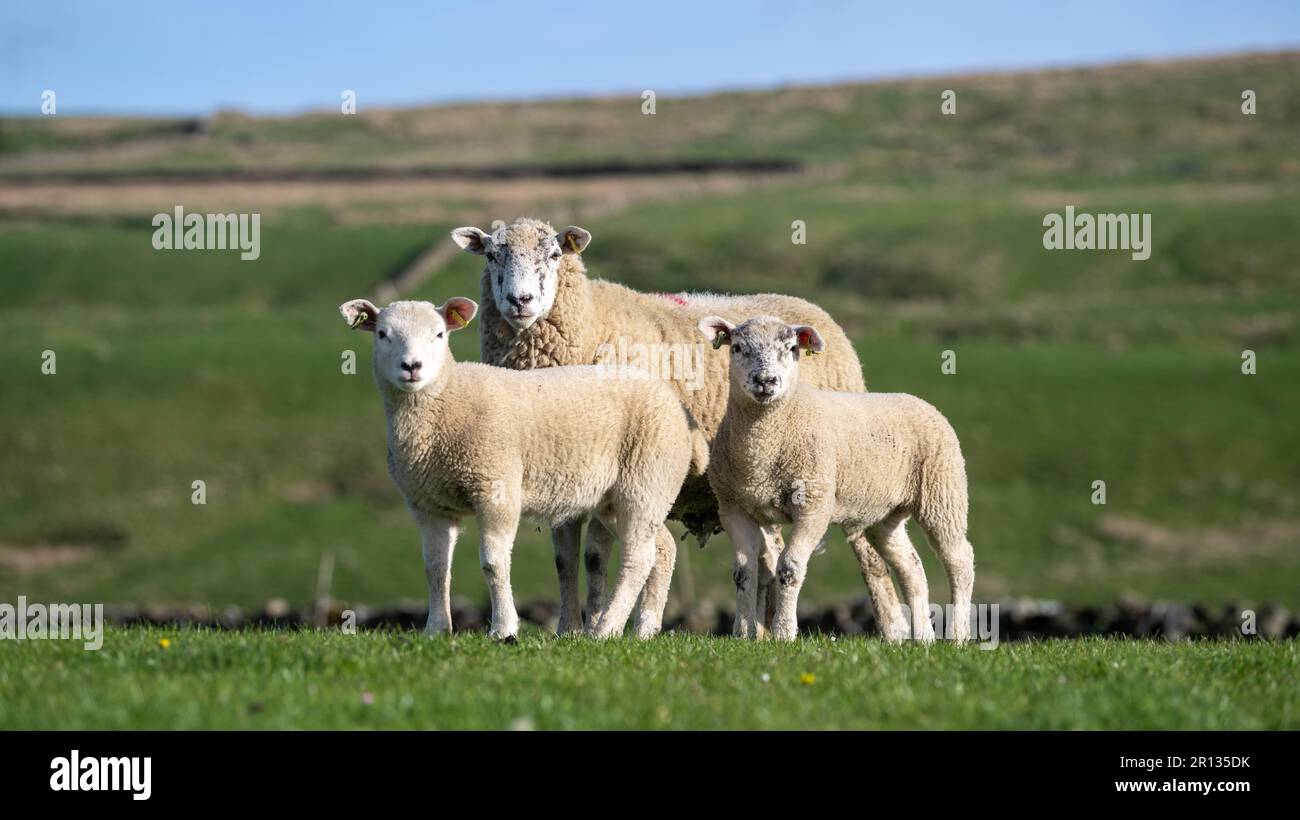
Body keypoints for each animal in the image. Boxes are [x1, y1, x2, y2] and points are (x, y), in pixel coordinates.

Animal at [338, 295, 701, 640]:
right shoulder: (429, 505)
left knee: (637, 558)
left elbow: (493, 564)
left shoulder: (496, 488)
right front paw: (436, 630)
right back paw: (644, 629)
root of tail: (673, 402)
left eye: (439, 334)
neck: (445, 402)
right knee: (661, 549)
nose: (412, 366)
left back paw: (606, 629)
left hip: (646, 479)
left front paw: (504, 628)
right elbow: (435, 568)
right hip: (619, 498)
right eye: (382, 334)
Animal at [450, 217, 918, 641]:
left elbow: (602, 554)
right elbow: (573, 560)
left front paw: (609, 625)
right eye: (491, 255)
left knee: (869, 558)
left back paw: (891, 631)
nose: (520, 300)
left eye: (553, 255)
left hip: (851, 479)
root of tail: (819, 319)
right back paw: (760, 630)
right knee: (768, 555)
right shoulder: (564, 466)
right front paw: (572, 629)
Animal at [698, 315, 976, 642]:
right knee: (911, 566)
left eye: (792, 348)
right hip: (886, 514)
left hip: (942, 492)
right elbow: (743, 573)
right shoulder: (734, 508)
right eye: (738, 347)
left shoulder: (814, 505)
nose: (766, 381)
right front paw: (743, 634)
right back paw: (923, 638)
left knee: (959, 559)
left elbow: (789, 568)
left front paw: (783, 633)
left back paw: (957, 635)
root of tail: (919, 401)